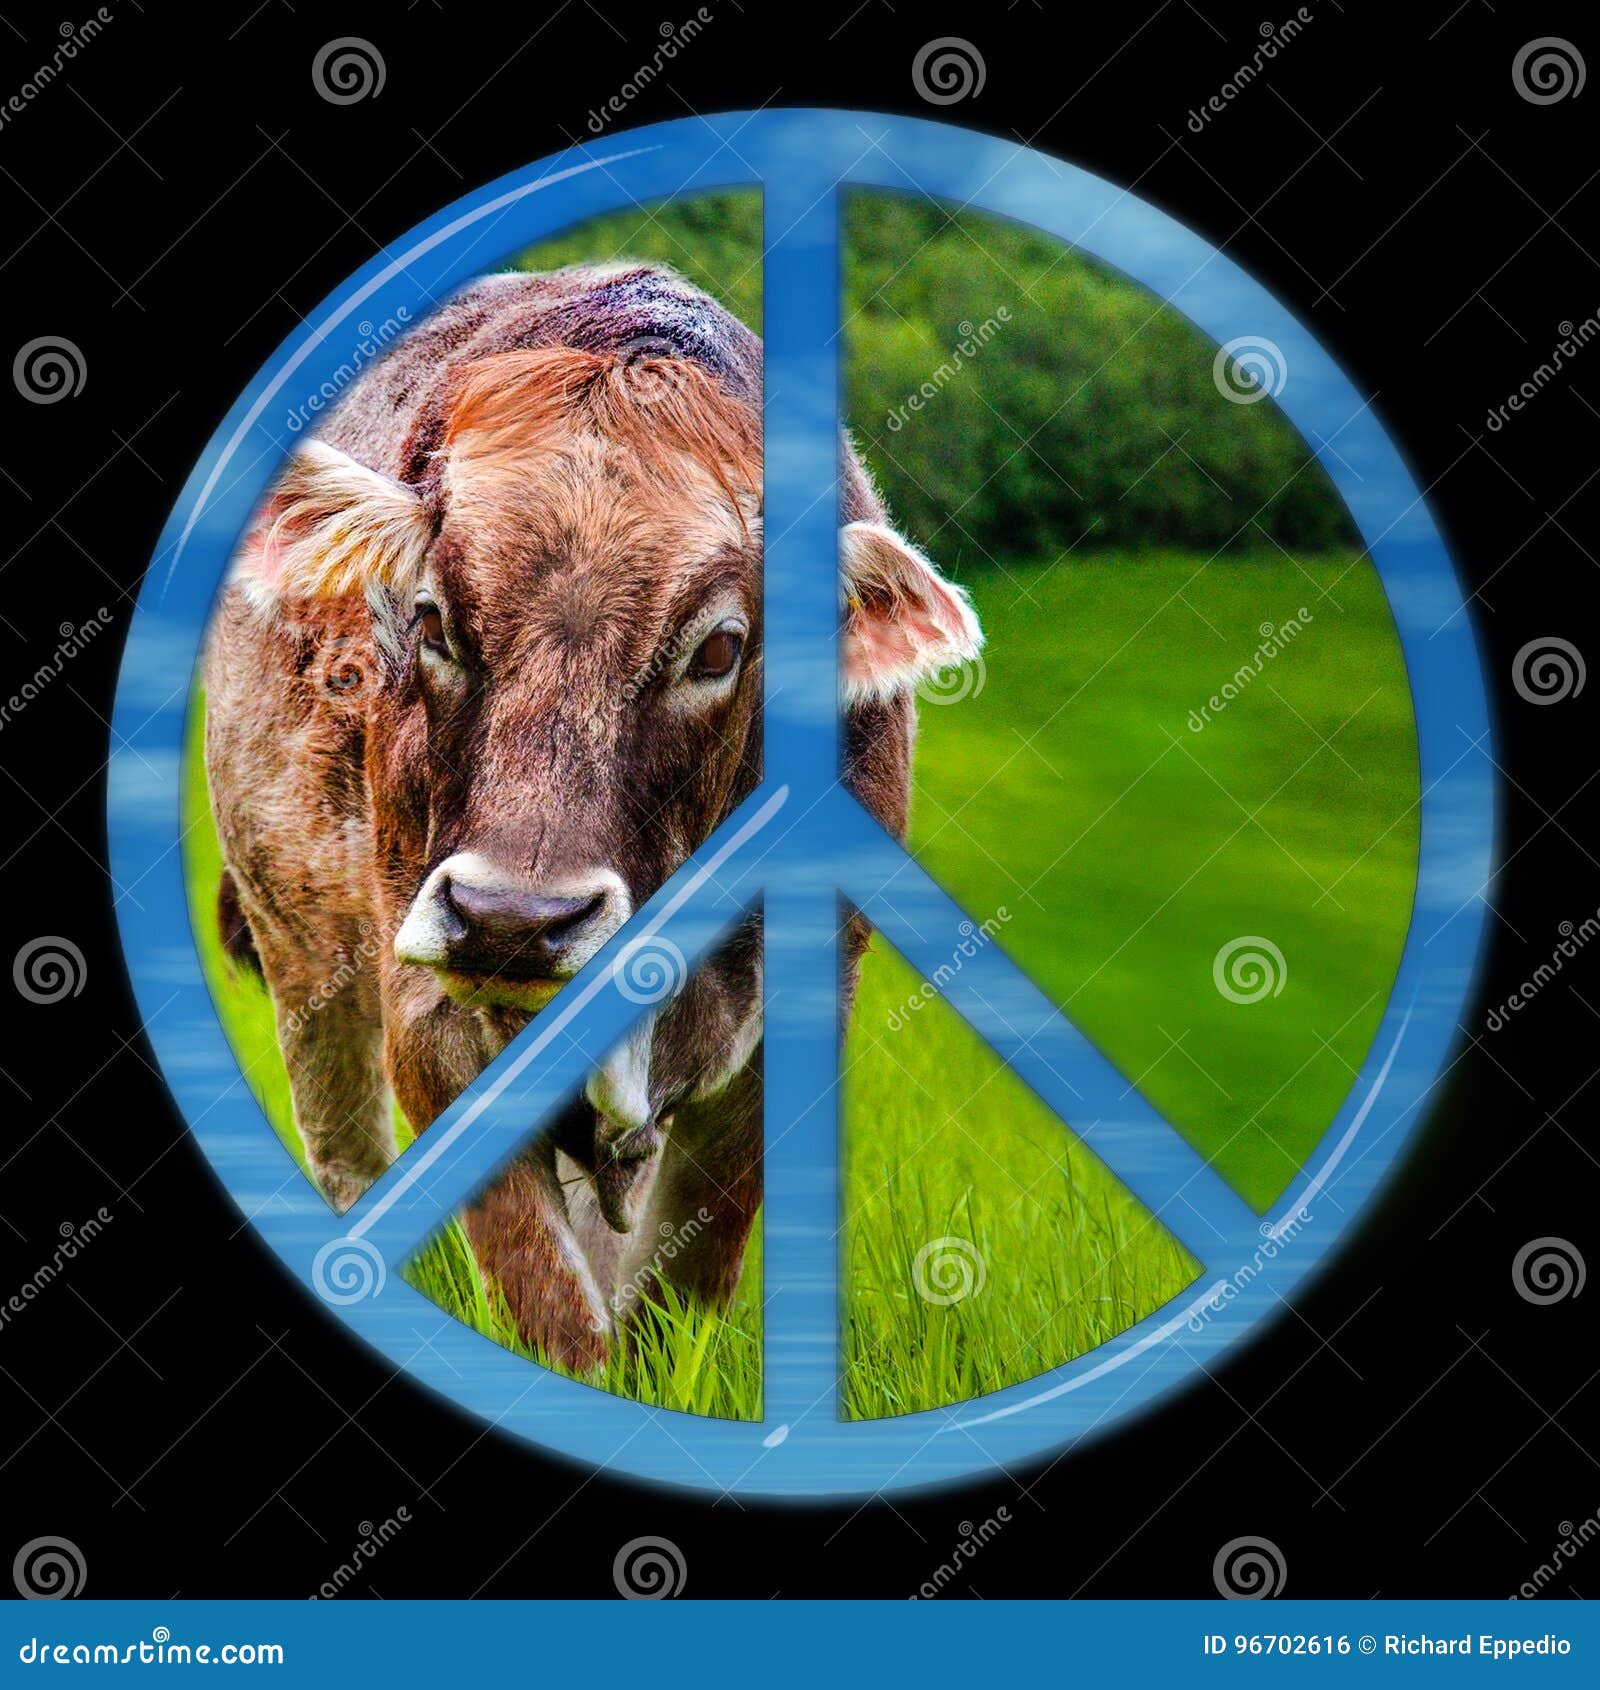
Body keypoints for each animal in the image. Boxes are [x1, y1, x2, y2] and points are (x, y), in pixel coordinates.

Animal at [203, 262, 981, 1369]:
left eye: (718, 647)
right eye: (431, 619)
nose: (511, 921)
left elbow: (673, 1297)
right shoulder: (429, 1015)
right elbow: (556, 1310)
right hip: (303, 946)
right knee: (348, 1149)